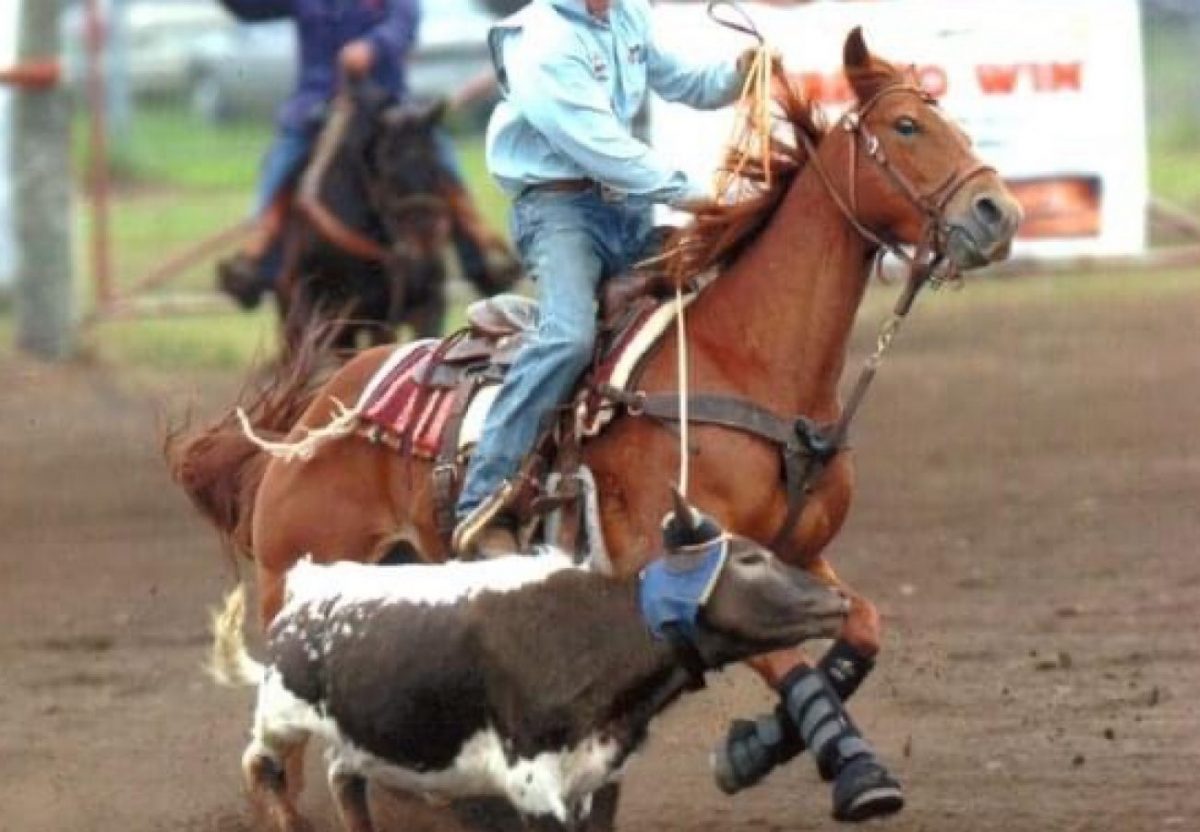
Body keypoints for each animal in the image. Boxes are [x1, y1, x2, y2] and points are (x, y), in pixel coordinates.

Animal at [170, 29, 1021, 829]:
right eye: (907, 126)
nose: (999, 213)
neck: (743, 362)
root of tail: (315, 417)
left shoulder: (802, 556)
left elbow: (861, 633)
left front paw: (751, 749)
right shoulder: (673, 564)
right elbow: (785, 656)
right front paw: (855, 773)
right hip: (294, 594)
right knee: (276, 761)